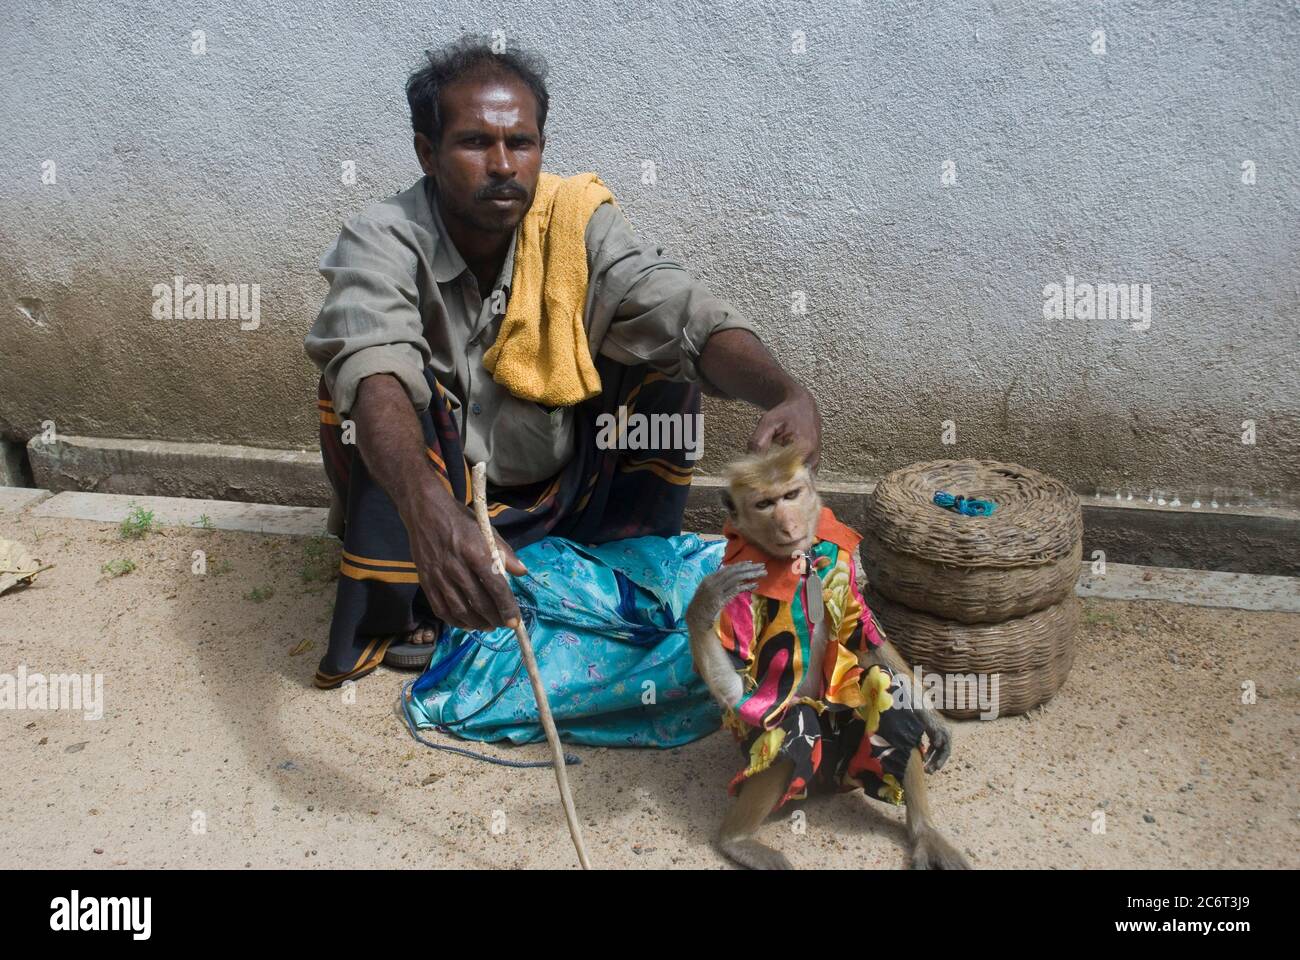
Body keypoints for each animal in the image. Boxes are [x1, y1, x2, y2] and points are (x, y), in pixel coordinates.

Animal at [685, 443, 970, 870]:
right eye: (764, 504)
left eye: (790, 495)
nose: (788, 525)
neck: (797, 565)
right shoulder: (739, 588)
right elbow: (746, 687)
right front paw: (701, 610)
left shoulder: (836, 559)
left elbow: (864, 635)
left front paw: (934, 722)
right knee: (793, 723)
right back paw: (737, 839)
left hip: (846, 769)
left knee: (884, 685)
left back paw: (924, 832)